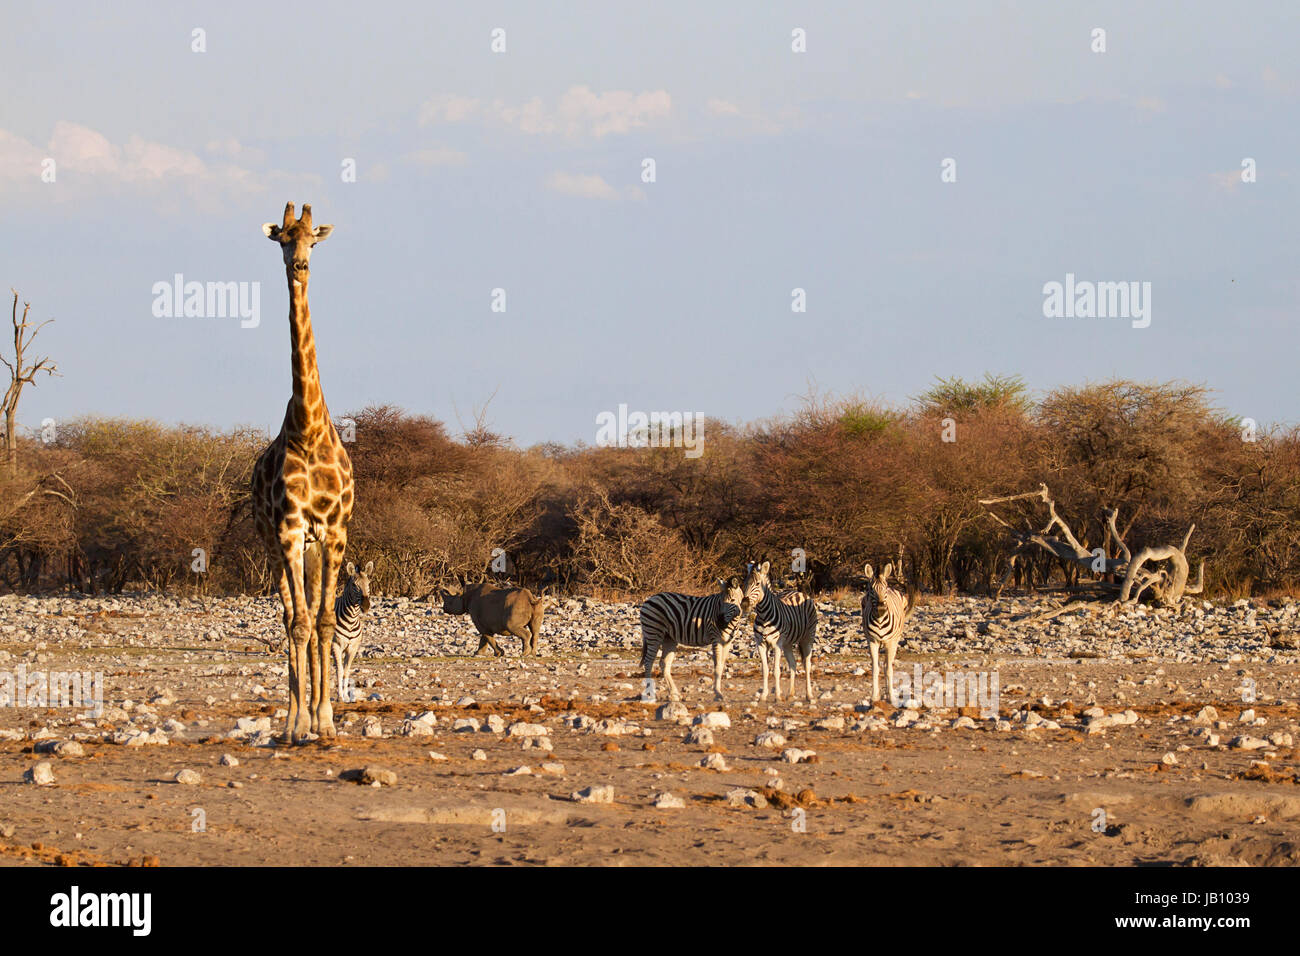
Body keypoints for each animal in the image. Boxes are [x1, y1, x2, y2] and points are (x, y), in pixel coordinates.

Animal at [331, 560, 373, 703]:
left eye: (368, 584)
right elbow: (339, 671)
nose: (366, 606)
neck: (351, 620)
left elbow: (346, 671)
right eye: (354, 585)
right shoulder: (336, 646)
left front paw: (345, 696)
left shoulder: (352, 648)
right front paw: (339, 696)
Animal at [741, 559, 818, 701]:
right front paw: (763, 696)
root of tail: (798, 592)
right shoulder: (761, 644)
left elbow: (776, 670)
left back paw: (809, 695)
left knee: (807, 664)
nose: (744, 605)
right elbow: (765, 670)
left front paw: (777, 696)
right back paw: (791, 693)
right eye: (745, 584)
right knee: (793, 663)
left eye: (758, 584)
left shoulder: (777, 644)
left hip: (808, 637)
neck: (763, 616)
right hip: (787, 643)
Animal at [861, 562, 917, 703]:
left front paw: (891, 697)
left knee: (888, 665)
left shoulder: (890, 643)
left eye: (884, 589)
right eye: (871, 589)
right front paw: (874, 696)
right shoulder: (872, 642)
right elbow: (875, 668)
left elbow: (888, 669)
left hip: (894, 641)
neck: (880, 621)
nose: (881, 608)